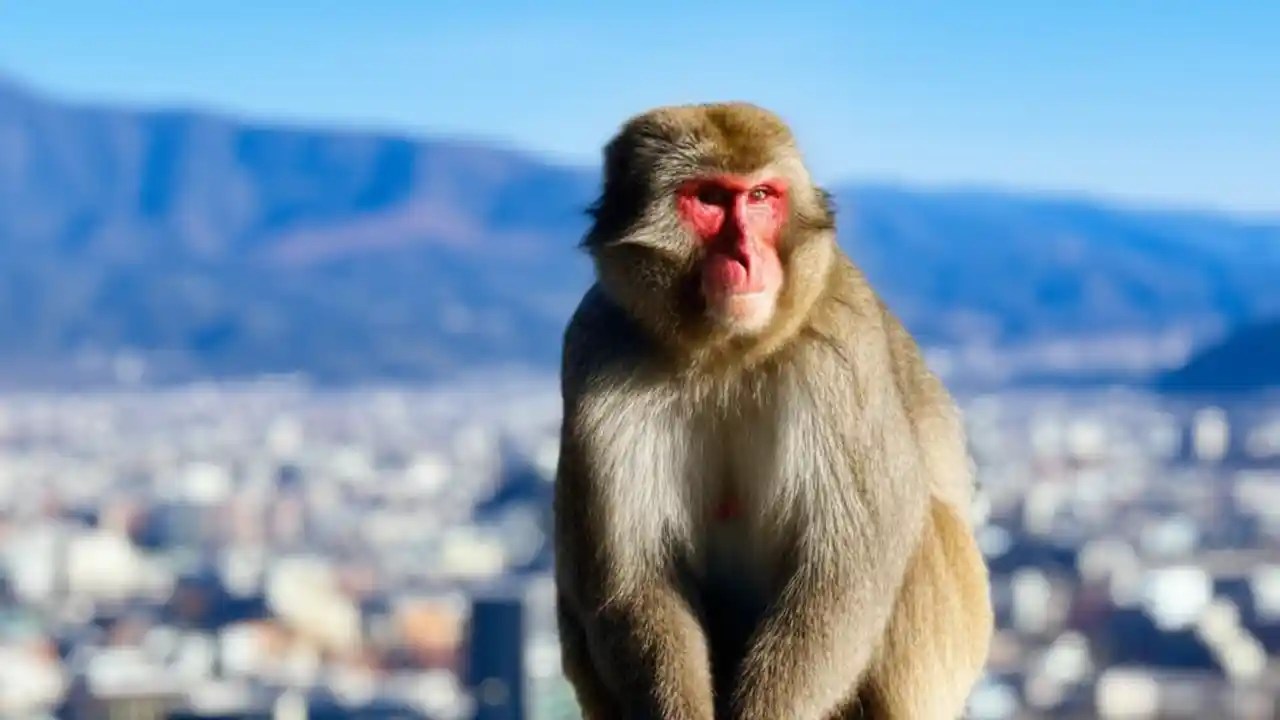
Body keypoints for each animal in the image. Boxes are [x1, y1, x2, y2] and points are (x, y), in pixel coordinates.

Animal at [553, 102, 993, 720]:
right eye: (710, 198)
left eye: (761, 196)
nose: (745, 255)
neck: (725, 355)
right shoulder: (598, 346)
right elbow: (634, 579)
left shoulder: (841, 346)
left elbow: (848, 566)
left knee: (919, 534)